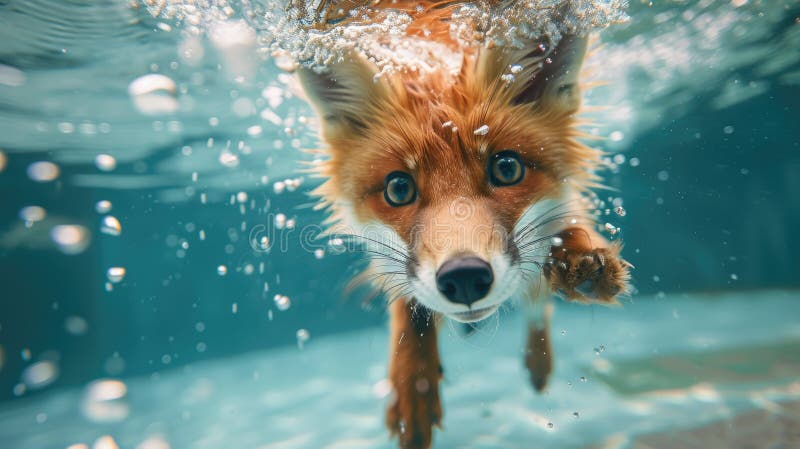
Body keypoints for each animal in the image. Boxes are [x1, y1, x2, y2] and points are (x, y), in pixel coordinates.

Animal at [295, 1, 631, 447]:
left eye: (506, 168)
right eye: (399, 188)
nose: (465, 277)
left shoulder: (562, 201)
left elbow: (569, 225)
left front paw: (582, 254)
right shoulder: (388, 260)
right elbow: (409, 312)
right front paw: (413, 388)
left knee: (536, 308)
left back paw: (538, 364)